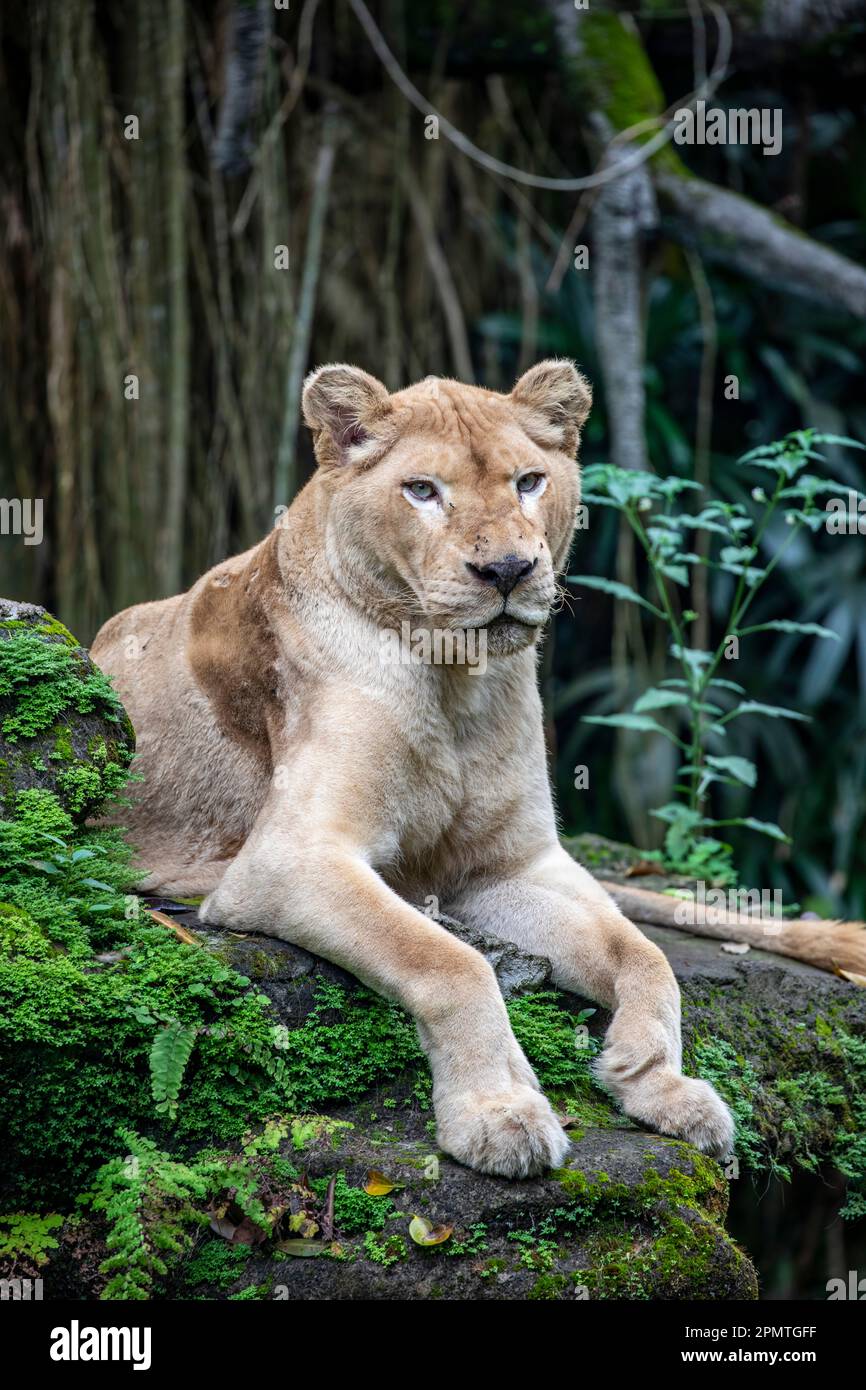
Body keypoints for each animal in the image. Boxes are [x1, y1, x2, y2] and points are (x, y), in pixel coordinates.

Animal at [91, 360, 865, 1178]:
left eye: (528, 482)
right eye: (422, 490)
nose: (508, 570)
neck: (457, 681)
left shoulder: (508, 867)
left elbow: (645, 954)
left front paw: (656, 1081)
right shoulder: (289, 858)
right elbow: (450, 963)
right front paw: (497, 1112)